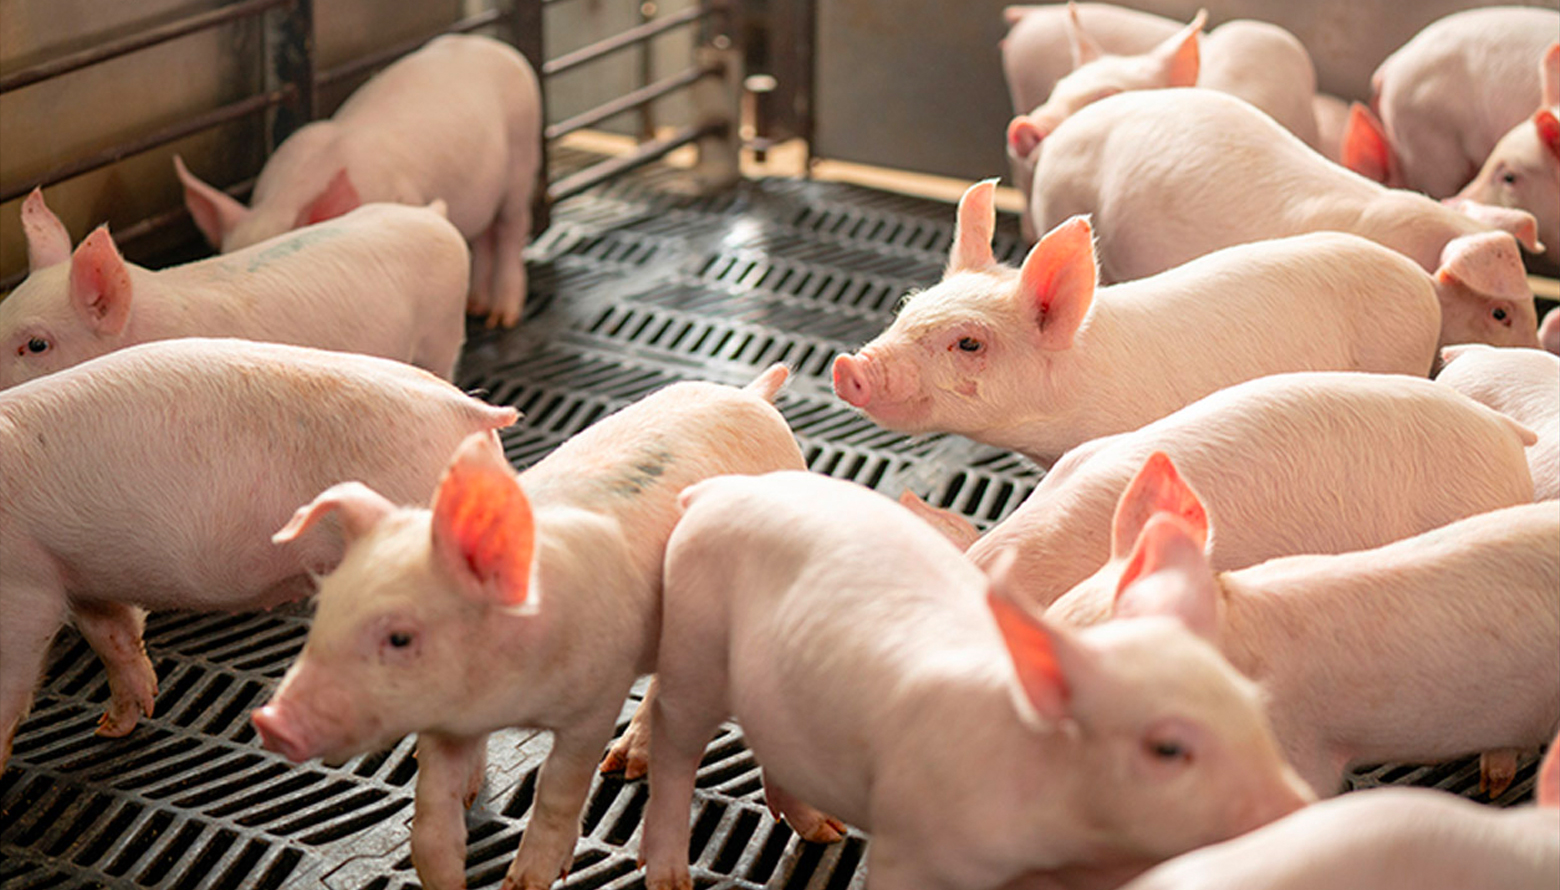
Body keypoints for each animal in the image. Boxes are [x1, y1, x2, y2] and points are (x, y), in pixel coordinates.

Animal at [175, 34, 542, 327]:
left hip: (523, 156)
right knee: (484, 236)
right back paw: (476, 308)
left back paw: (502, 319)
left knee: (512, 229)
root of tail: (495, 46)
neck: (286, 197)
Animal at [249, 365, 805, 890]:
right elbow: (430, 813)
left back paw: (620, 767)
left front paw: (527, 879)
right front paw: (451, 874)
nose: (269, 721)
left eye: (399, 637)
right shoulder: (448, 719)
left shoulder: (596, 697)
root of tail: (752, 395)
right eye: (324, 610)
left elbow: (559, 785)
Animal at [640, 470, 1314, 890]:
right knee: (675, 745)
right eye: (1167, 748)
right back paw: (670, 878)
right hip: (694, 642)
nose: (1300, 809)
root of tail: (719, 491)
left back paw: (825, 833)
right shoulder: (916, 844)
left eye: (1253, 709)